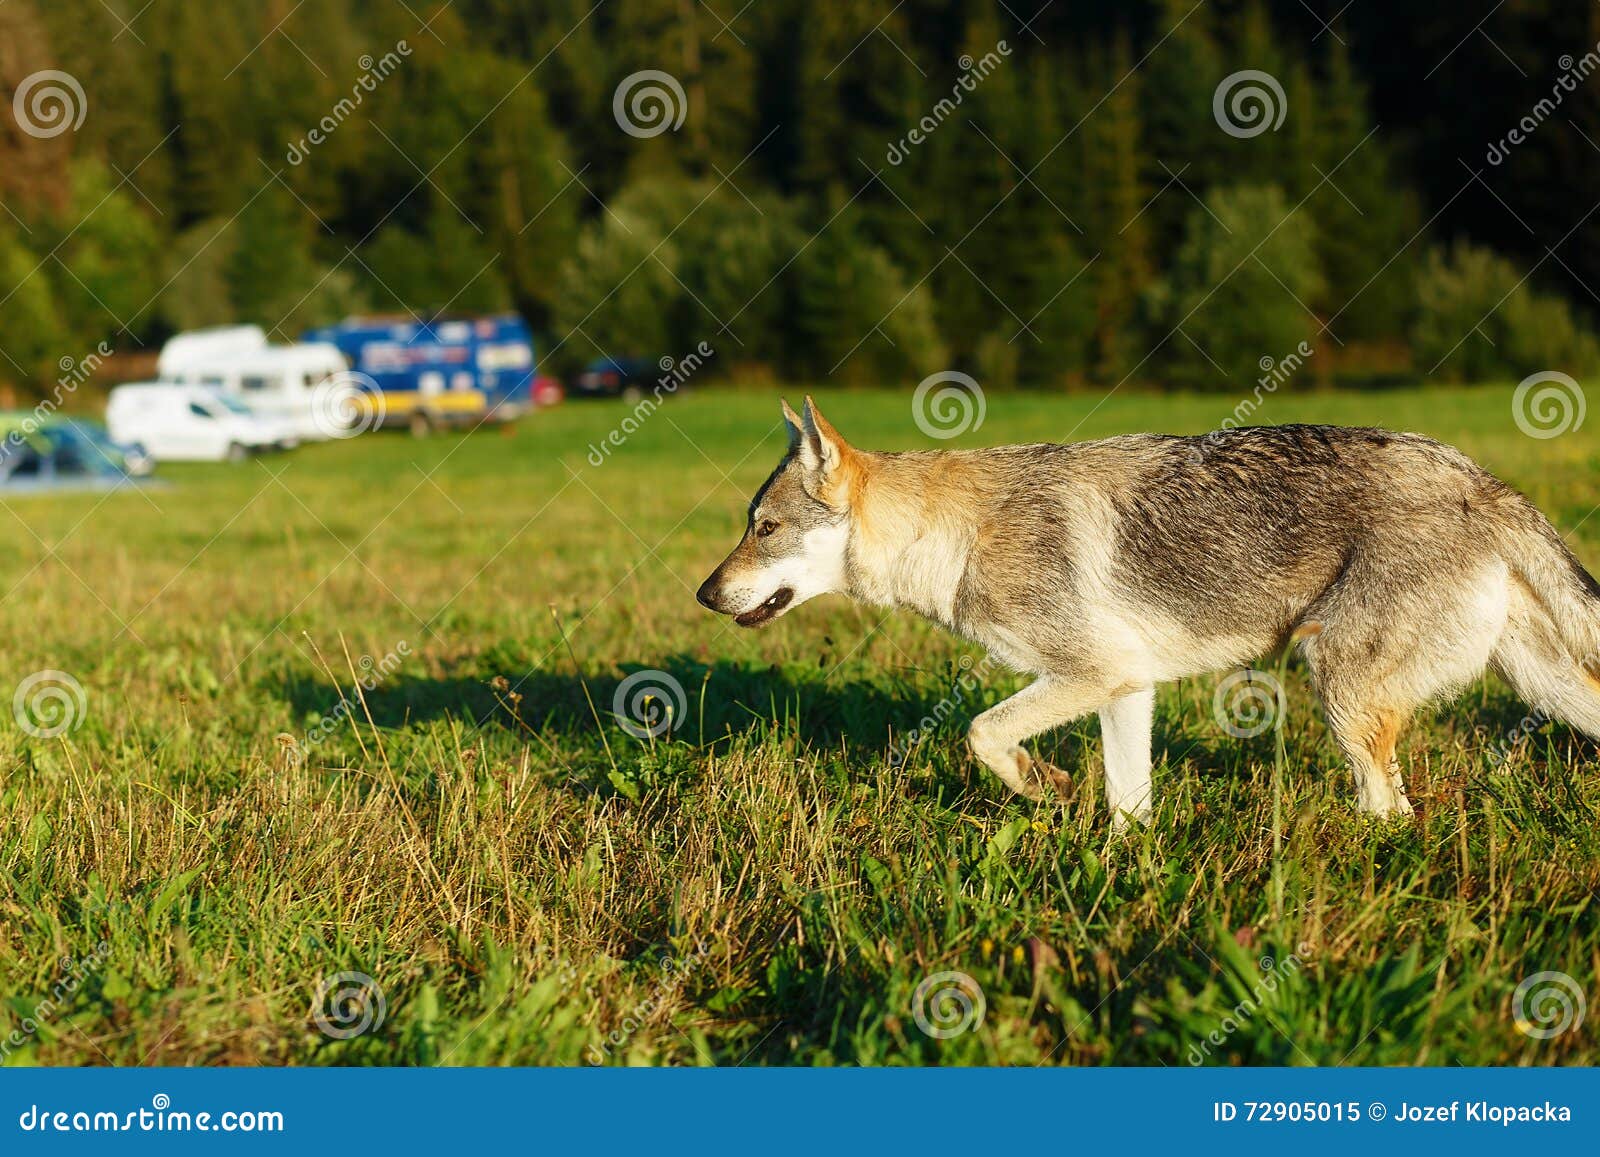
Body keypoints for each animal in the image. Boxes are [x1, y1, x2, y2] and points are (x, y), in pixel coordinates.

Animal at [696, 398, 1600, 827]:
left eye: (763, 528)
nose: (704, 593)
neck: (956, 535)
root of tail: (1481, 479)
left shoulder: (1090, 674)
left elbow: (981, 733)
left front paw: (1044, 786)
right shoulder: (1128, 687)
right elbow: (1129, 807)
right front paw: (1127, 868)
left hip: (1338, 687)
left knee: (1392, 812)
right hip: (1543, 686)